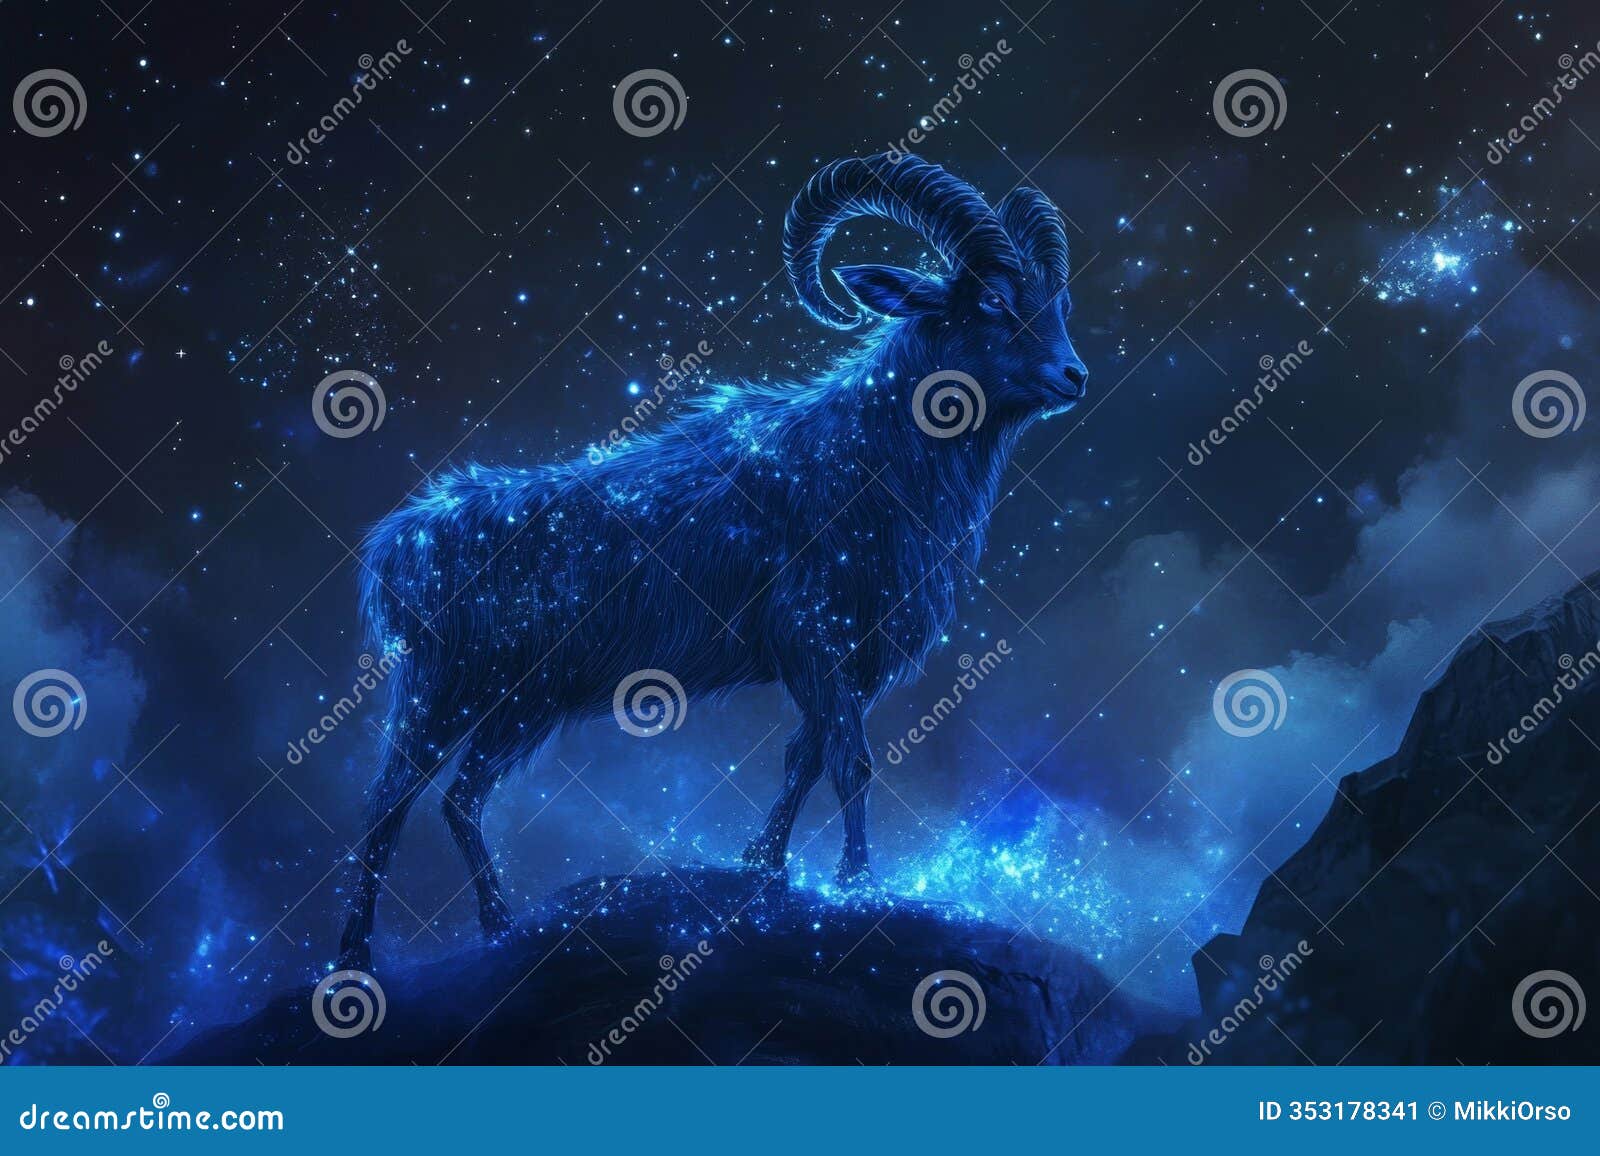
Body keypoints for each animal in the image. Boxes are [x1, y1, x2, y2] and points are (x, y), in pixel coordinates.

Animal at [339, 154, 1087, 967]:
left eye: (1058, 299)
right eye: (992, 299)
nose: (1074, 376)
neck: (872, 452)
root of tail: (395, 548)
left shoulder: (851, 660)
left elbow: (805, 757)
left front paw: (765, 864)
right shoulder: (815, 637)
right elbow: (849, 760)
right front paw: (858, 883)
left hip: (521, 702)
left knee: (461, 798)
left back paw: (500, 926)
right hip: (445, 689)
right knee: (385, 806)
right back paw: (355, 958)